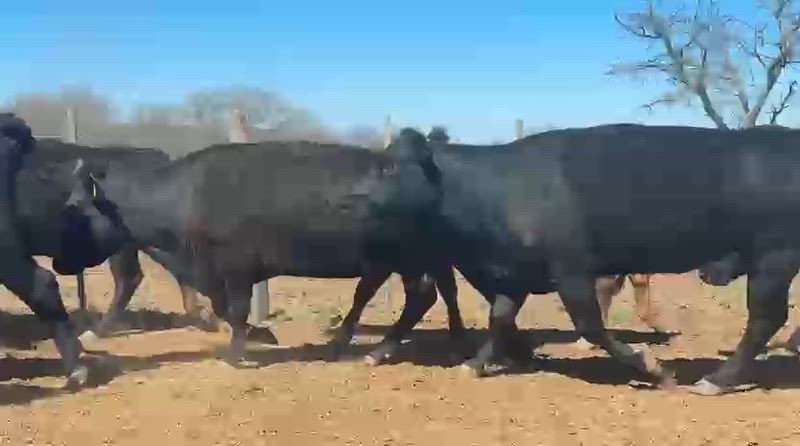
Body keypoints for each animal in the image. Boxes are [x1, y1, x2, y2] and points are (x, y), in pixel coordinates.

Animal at [384, 124, 800, 396]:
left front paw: (651, 369)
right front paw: (474, 365)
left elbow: (590, 324)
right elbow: (500, 316)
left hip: (773, 259)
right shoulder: (516, 273)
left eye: (388, 167)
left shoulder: (571, 272)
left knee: (764, 319)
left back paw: (716, 379)